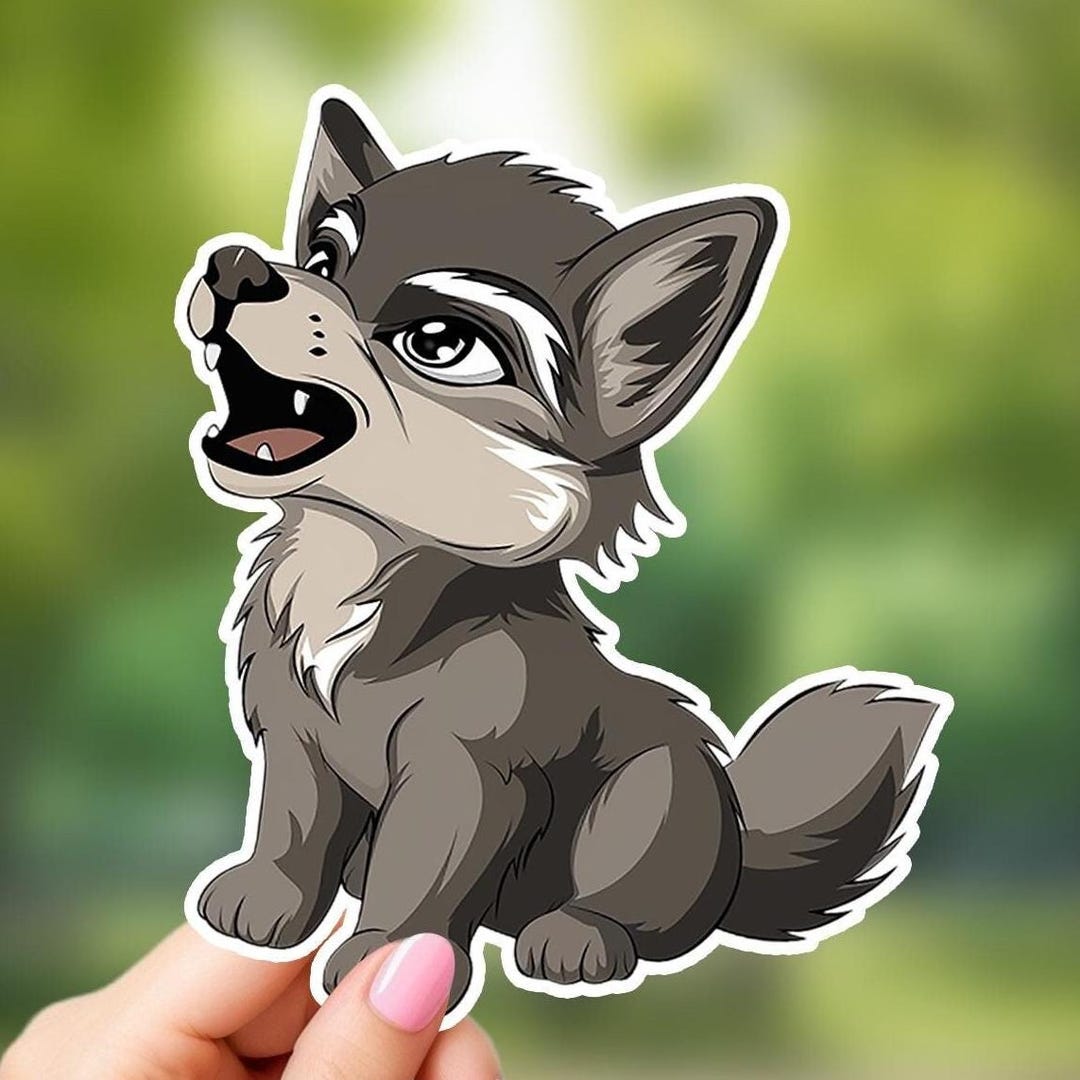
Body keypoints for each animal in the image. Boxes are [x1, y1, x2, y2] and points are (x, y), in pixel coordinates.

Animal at [176, 87, 951, 1018]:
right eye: (322, 256)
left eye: (438, 343)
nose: (233, 266)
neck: (355, 562)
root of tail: (737, 856)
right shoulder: (294, 737)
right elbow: (292, 822)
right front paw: (265, 900)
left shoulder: (461, 771)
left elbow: (422, 864)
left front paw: (387, 956)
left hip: (655, 798)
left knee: (642, 911)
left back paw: (579, 938)